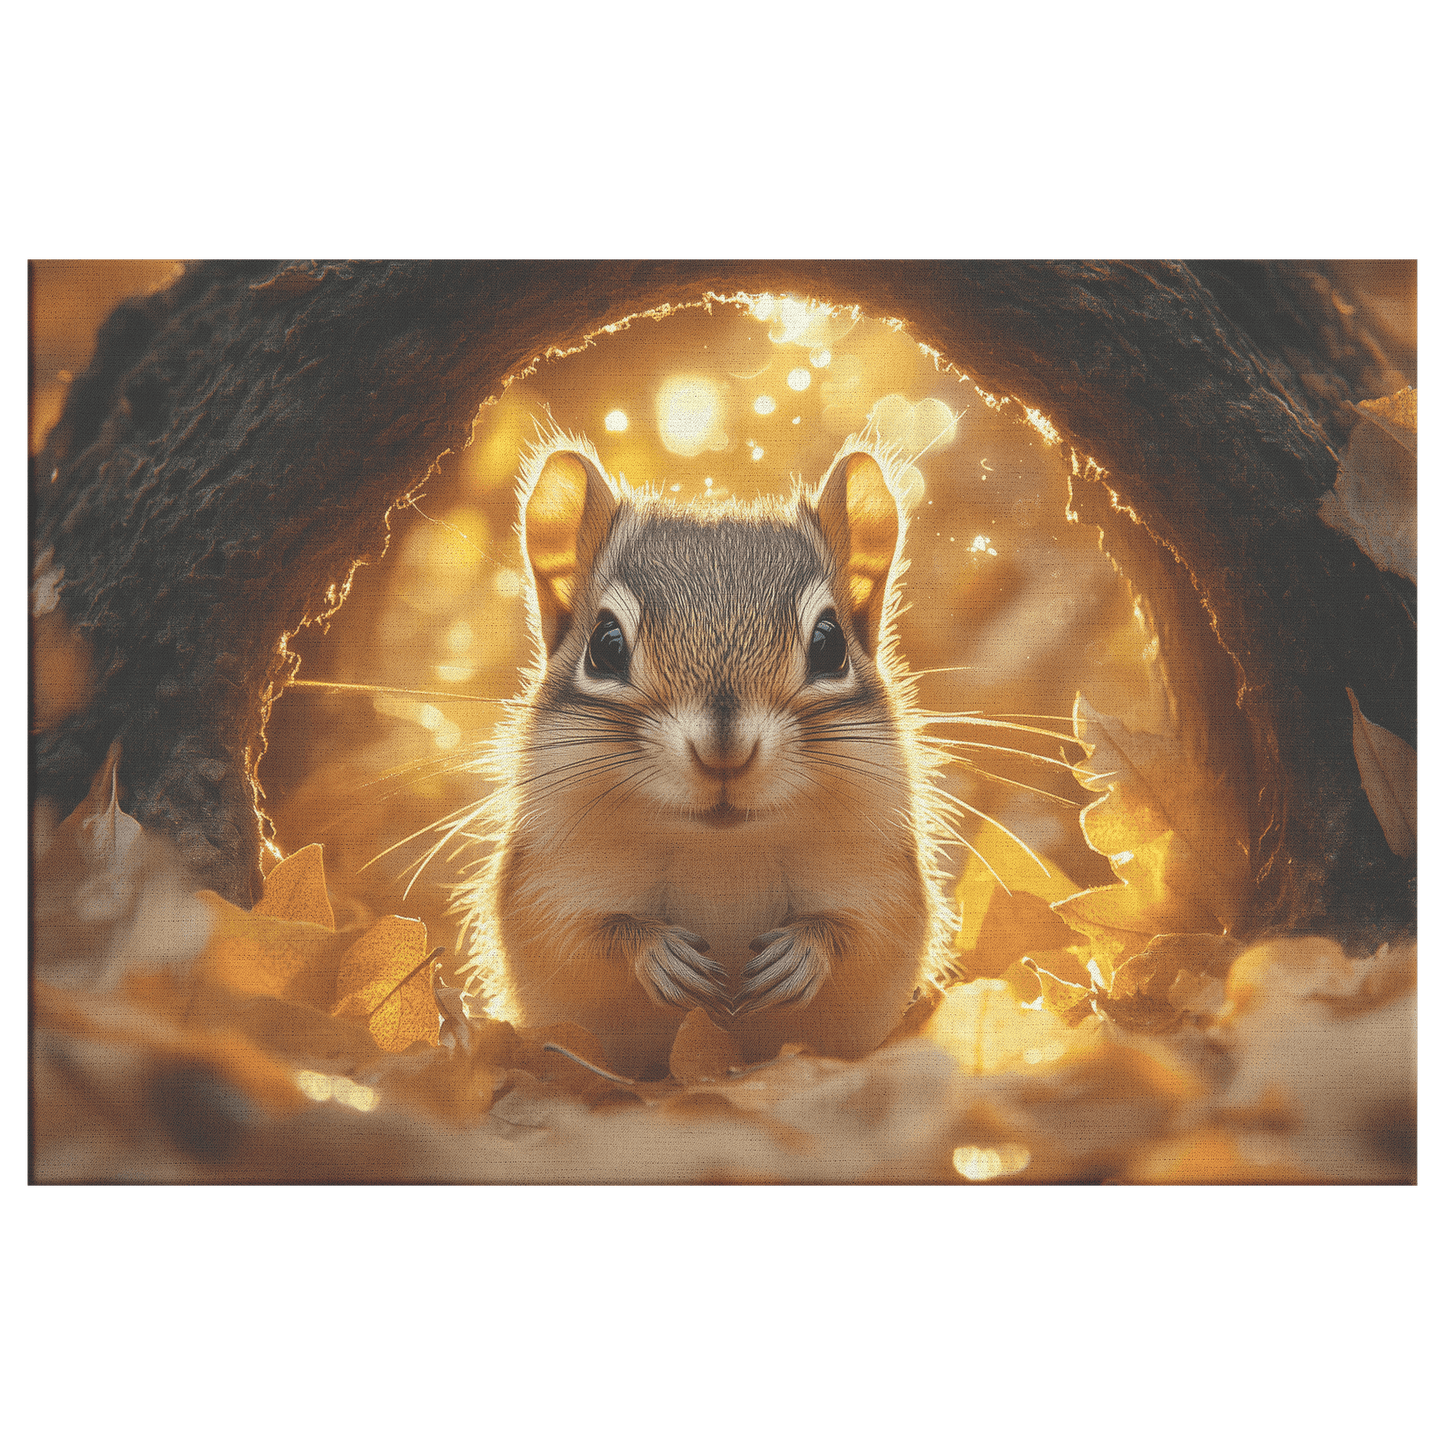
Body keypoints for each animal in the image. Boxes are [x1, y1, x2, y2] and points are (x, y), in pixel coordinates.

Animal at [452, 433, 956, 1079]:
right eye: (605, 645)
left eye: (830, 644)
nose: (724, 751)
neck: (721, 848)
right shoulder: (548, 882)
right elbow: (577, 932)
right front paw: (657, 952)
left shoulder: (882, 876)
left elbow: (867, 930)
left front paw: (803, 952)